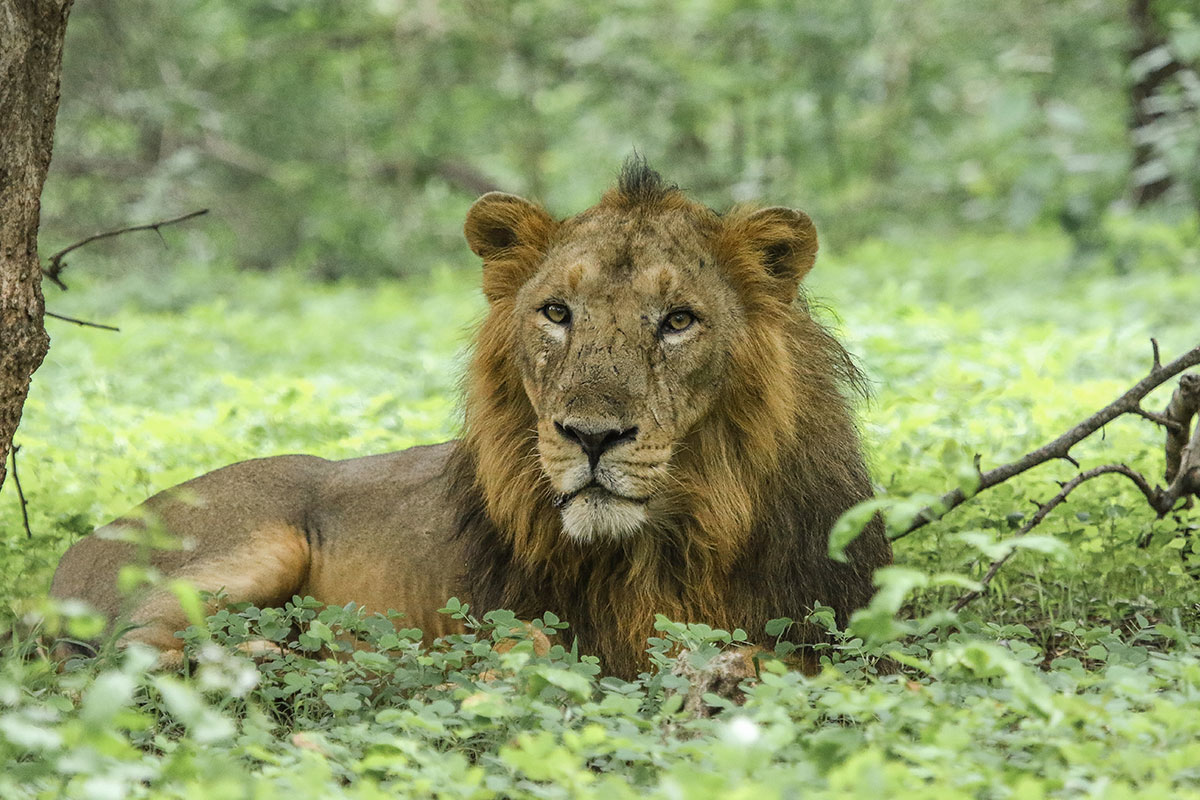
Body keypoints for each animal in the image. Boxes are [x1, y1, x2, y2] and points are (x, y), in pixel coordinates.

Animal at [50, 159, 892, 679]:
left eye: (679, 321)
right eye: (557, 313)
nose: (591, 437)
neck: (677, 537)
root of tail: (73, 553)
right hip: (254, 543)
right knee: (123, 654)